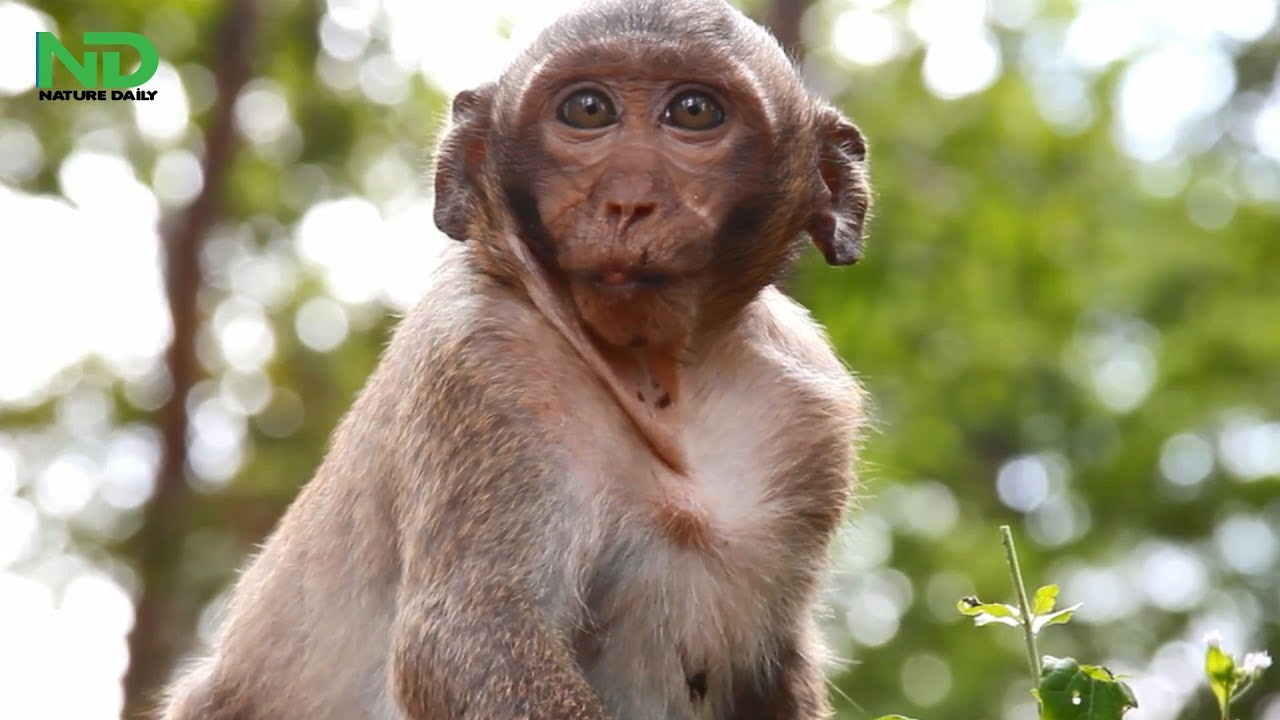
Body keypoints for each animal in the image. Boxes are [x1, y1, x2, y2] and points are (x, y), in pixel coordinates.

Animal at [159, 0, 872, 718]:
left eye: (694, 112)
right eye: (587, 109)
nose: (627, 202)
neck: (658, 374)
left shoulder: (809, 410)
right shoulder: (483, 360)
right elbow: (468, 637)